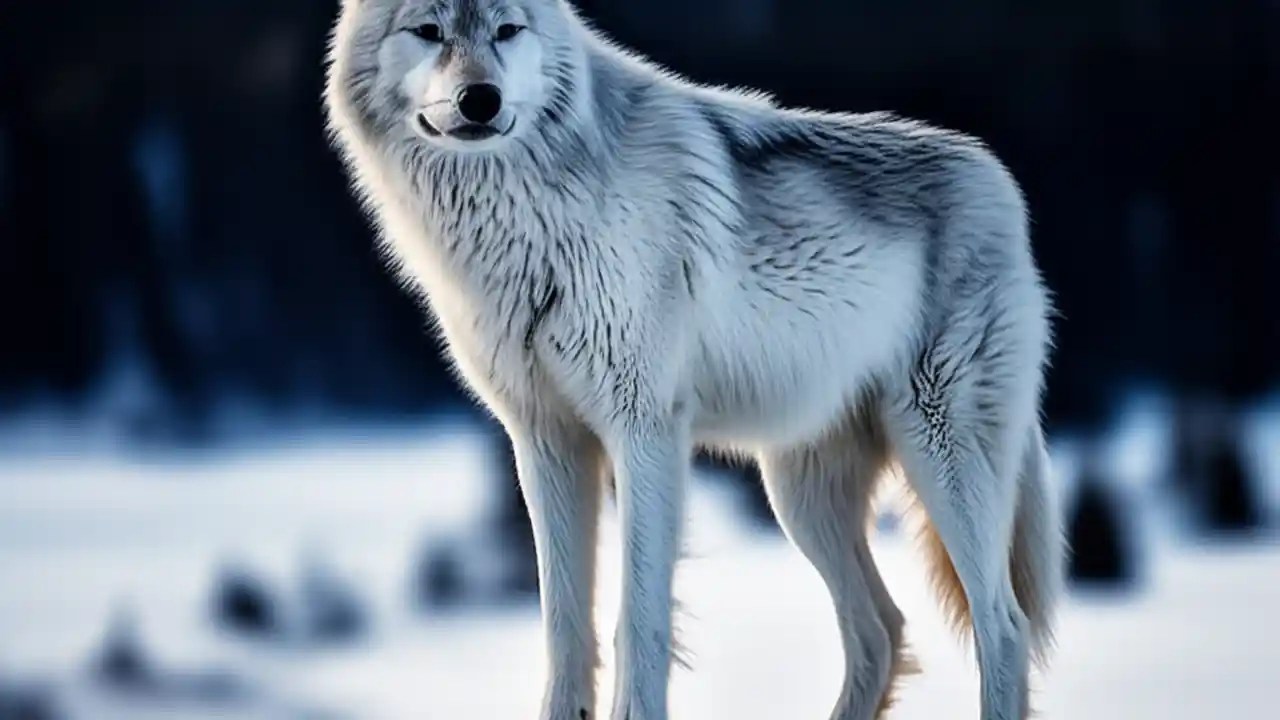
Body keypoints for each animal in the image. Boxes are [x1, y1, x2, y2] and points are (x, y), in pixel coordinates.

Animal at [324, 1, 1064, 718]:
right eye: (429, 30)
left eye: (507, 30)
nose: (480, 99)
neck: (528, 221)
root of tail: (1000, 182)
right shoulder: (545, 441)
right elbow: (563, 629)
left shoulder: (645, 430)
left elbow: (639, 621)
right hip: (800, 496)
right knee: (880, 629)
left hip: (938, 458)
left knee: (1003, 626)